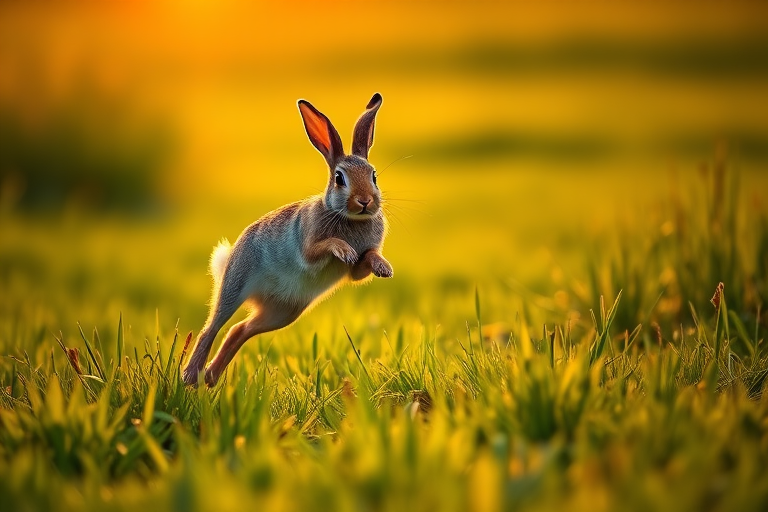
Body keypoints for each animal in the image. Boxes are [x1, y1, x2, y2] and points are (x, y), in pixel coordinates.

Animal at [182, 93, 392, 387]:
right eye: (339, 178)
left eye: (374, 176)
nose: (365, 201)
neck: (348, 218)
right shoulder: (308, 247)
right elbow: (322, 247)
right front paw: (344, 250)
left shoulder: (357, 271)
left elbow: (367, 260)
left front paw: (384, 267)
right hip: (236, 285)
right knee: (212, 326)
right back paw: (191, 376)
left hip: (282, 313)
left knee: (239, 330)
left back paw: (211, 377)